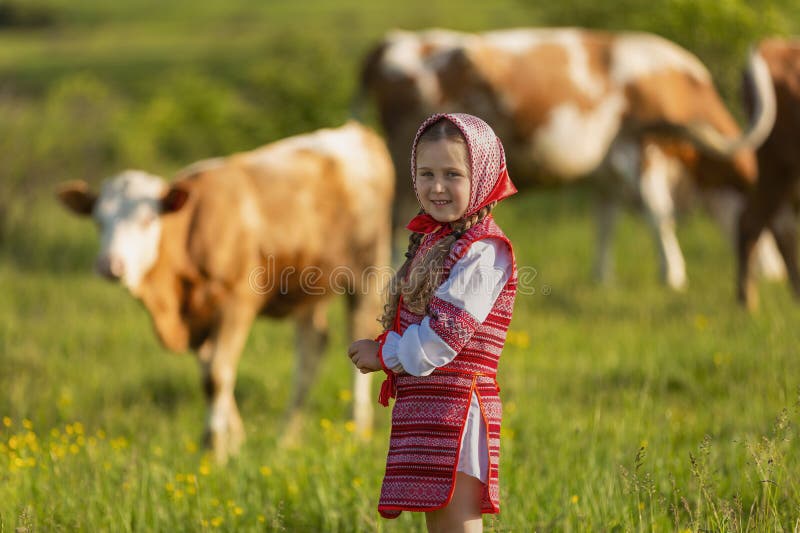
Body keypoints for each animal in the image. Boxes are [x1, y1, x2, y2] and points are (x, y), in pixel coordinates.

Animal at [57, 121, 394, 462]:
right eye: (99, 222)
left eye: (148, 219)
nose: (110, 265)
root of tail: (357, 131)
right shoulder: (197, 316)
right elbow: (211, 372)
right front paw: (235, 441)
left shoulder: (236, 303)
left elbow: (218, 374)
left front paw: (215, 448)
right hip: (308, 286)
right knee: (311, 347)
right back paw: (287, 435)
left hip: (367, 267)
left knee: (357, 332)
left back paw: (357, 429)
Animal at [357, 28, 783, 290]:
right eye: (763, 220)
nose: (777, 273)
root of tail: (397, 40)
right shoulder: (637, 150)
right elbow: (658, 213)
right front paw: (674, 277)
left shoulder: (607, 173)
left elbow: (605, 223)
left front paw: (602, 279)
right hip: (405, 163)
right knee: (396, 218)